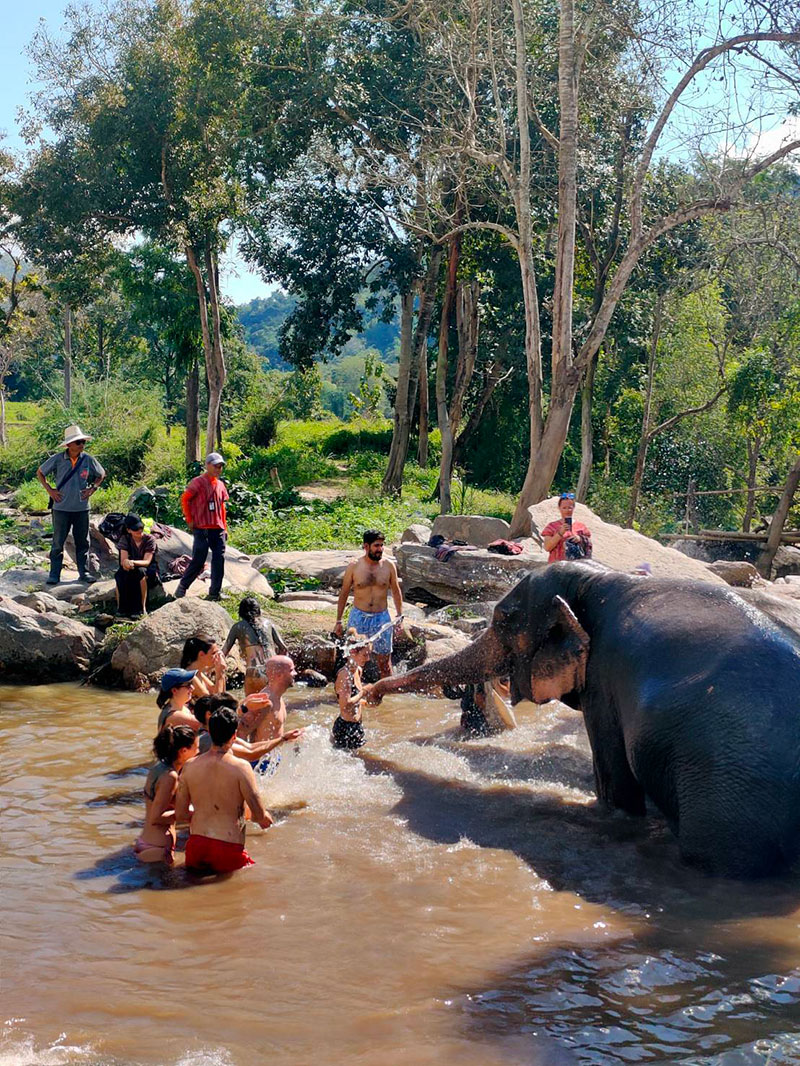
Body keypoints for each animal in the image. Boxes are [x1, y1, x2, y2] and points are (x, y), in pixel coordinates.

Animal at [369, 562, 800, 878]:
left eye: (503, 618)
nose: (370, 694)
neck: (601, 578)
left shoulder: (604, 678)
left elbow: (615, 780)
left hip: (727, 797)